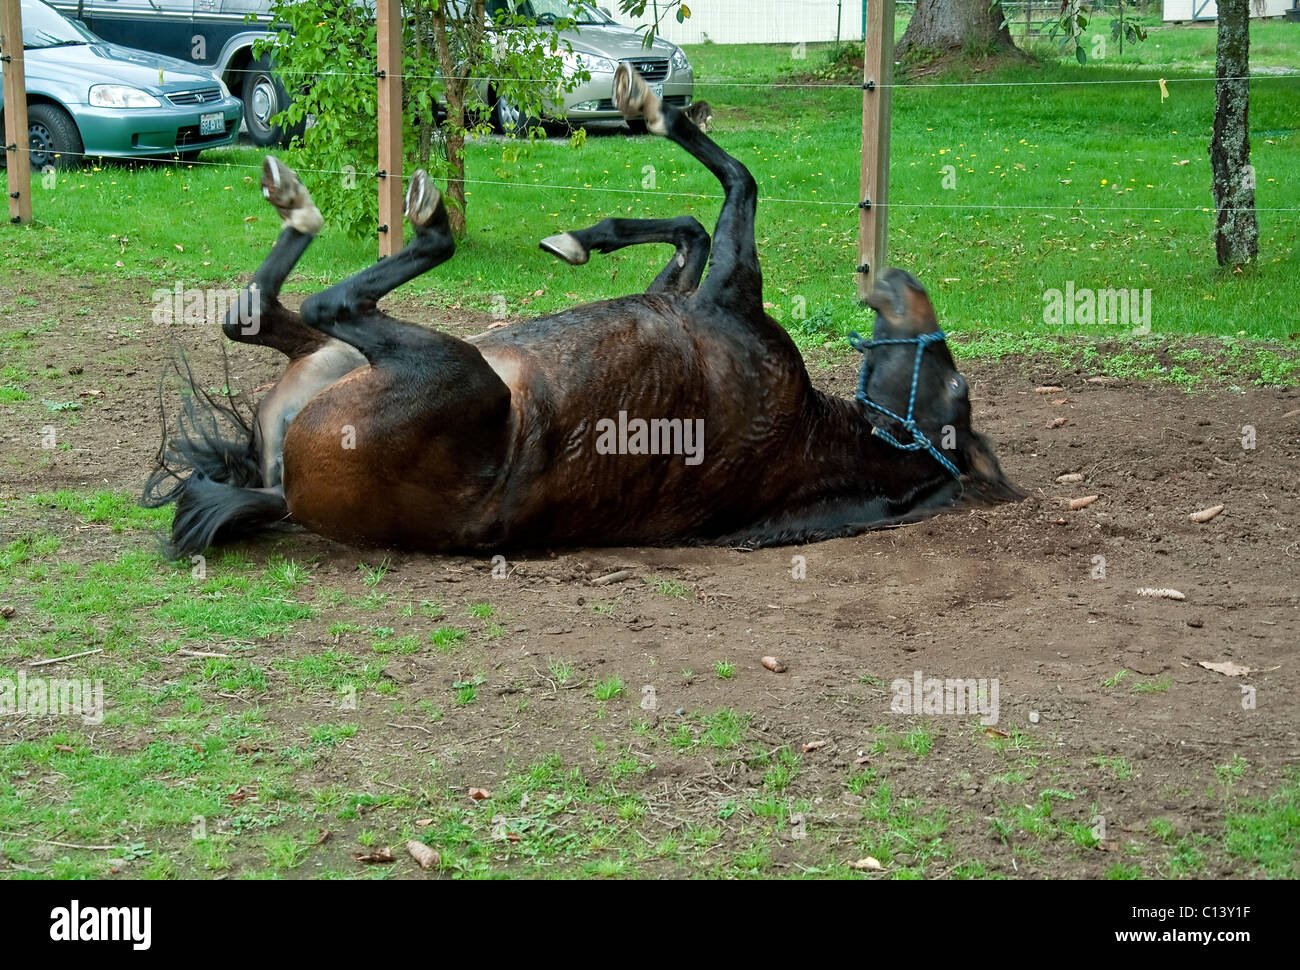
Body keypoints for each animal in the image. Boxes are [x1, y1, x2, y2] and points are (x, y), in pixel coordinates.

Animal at [143, 65, 1021, 557]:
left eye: (956, 387)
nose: (898, 277)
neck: (801, 428)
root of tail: (280, 491)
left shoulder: (730, 290)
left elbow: (738, 182)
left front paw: (651, 106)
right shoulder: (690, 292)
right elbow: (692, 225)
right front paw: (580, 238)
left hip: (443, 365)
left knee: (330, 297)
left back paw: (369, 211)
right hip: (335, 359)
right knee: (252, 316)